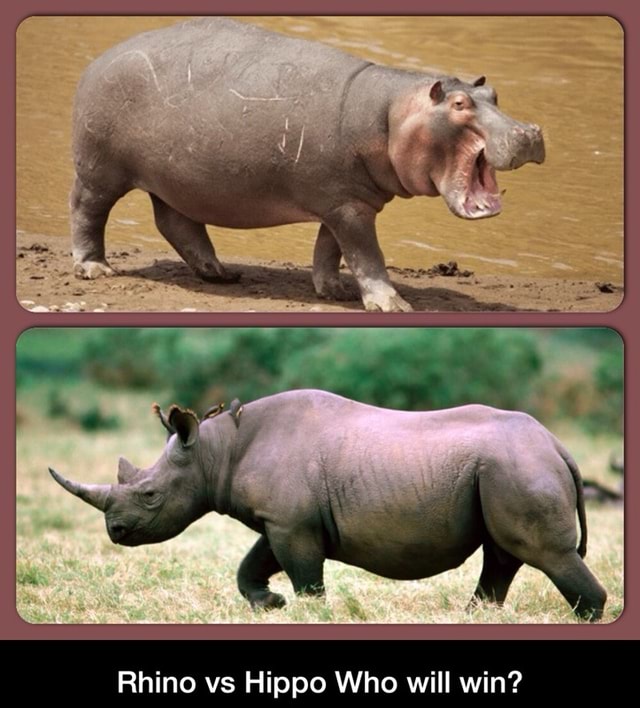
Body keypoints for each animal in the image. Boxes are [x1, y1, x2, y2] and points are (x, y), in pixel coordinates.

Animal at [49, 389, 606, 620]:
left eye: (149, 495)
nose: (115, 533)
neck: (215, 451)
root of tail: (558, 445)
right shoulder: (284, 519)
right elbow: (251, 564)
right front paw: (270, 604)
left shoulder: (291, 523)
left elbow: (305, 577)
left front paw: (308, 611)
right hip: (506, 468)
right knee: (503, 553)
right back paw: (473, 617)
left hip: (518, 467)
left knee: (545, 554)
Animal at [71, 18, 545, 312]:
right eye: (460, 104)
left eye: (494, 94)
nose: (530, 131)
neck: (393, 114)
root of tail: (99, 58)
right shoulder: (348, 208)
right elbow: (366, 254)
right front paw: (391, 304)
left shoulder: (347, 202)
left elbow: (330, 249)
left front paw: (335, 291)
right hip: (100, 170)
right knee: (87, 210)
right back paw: (94, 268)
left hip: (176, 180)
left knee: (178, 223)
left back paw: (221, 274)